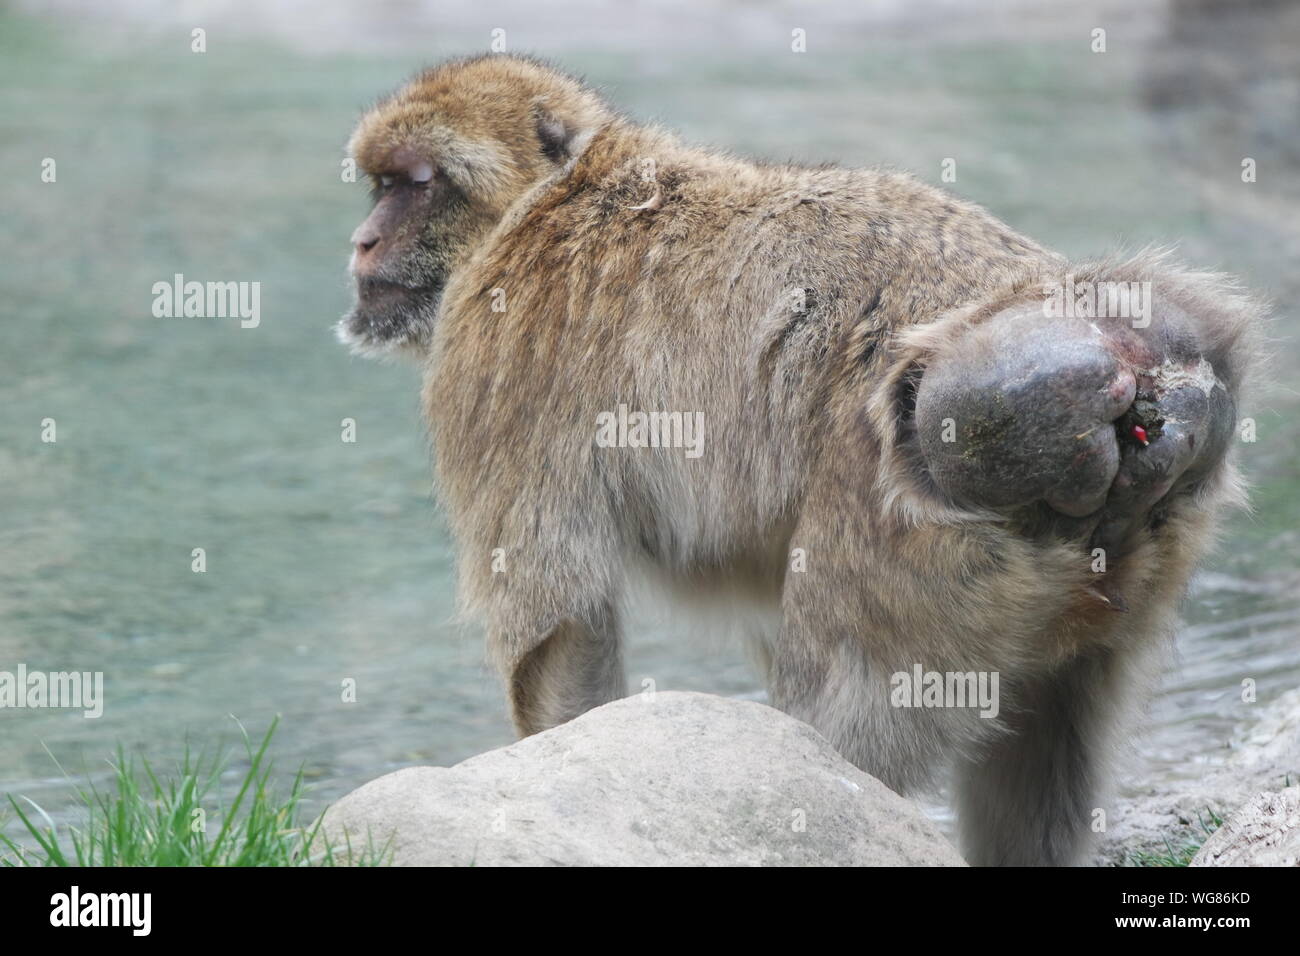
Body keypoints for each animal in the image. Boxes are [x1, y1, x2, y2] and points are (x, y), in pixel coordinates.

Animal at [337, 55, 1264, 866]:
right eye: (380, 185)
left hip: (912, 544)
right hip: (1130, 546)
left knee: (834, 721)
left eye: (414, 182)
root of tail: (1123, 366)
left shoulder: (490, 360)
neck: (546, 204)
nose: (362, 241)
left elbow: (555, 617)